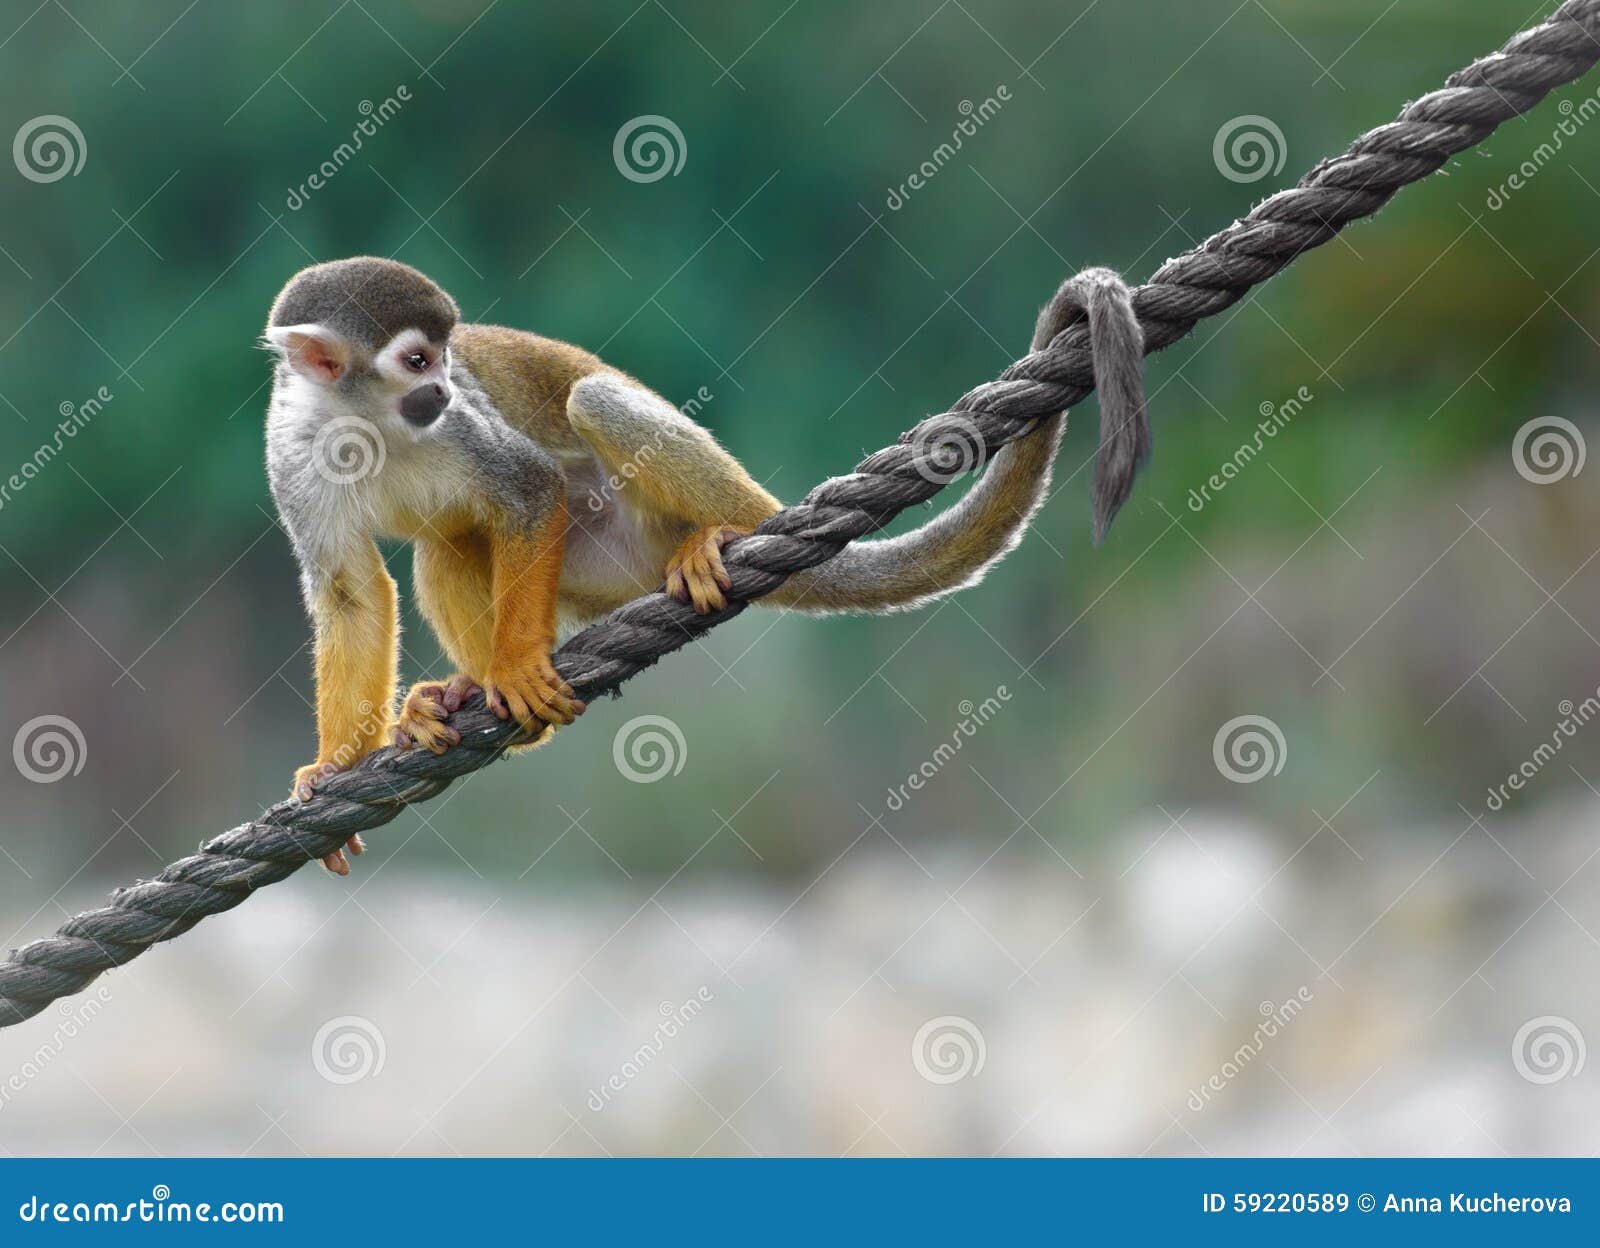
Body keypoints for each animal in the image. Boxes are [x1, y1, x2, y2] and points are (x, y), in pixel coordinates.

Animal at [264, 256, 1072, 874]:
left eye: (443, 358)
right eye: (415, 361)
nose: (446, 388)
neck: (368, 423)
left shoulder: (464, 429)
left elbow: (531, 490)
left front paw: (518, 666)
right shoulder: (291, 456)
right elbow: (351, 593)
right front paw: (334, 768)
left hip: (641, 534)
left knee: (591, 403)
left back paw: (716, 533)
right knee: (448, 542)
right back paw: (464, 689)